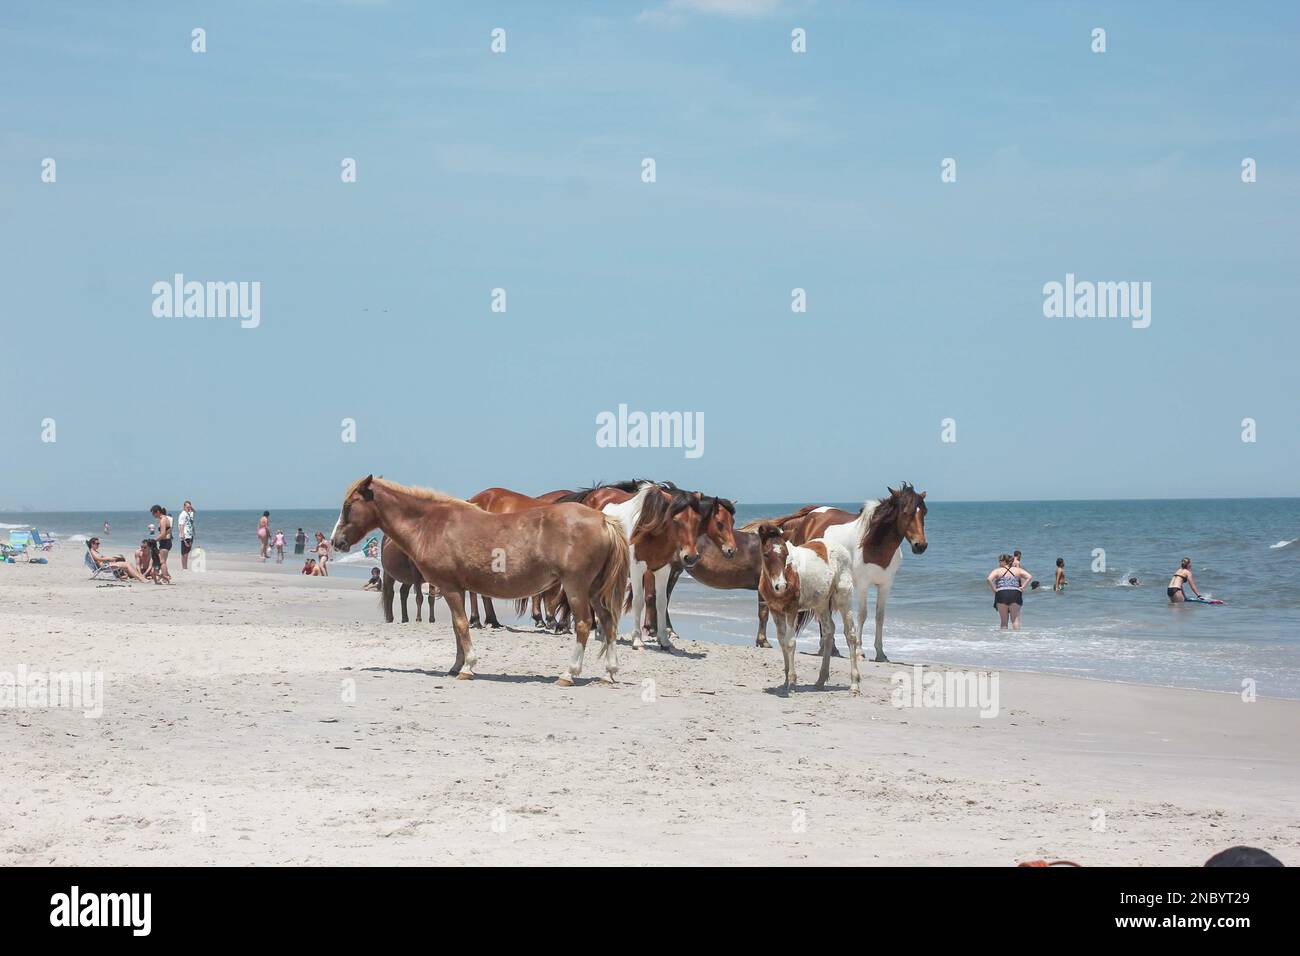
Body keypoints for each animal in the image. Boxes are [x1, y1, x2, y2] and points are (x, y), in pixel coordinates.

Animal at [331, 475, 629, 685]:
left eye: (348, 506)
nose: (336, 541)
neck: (432, 524)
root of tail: (603, 519)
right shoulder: (456, 589)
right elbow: (456, 627)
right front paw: (455, 666)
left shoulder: (450, 588)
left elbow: (462, 625)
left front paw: (467, 667)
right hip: (594, 590)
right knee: (608, 622)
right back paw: (609, 673)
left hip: (576, 587)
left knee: (584, 624)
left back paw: (569, 673)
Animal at [753, 483, 928, 662]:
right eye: (906, 512)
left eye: (924, 512)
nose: (920, 545)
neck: (873, 544)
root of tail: (810, 514)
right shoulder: (863, 584)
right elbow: (862, 614)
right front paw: (859, 651)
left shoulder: (885, 584)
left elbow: (880, 617)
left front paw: (880, 653)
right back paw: (827, 648)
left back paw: (830, 648)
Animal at [756, 524, 858, 694]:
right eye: (766, 554)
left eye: (786, 554)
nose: (781, 586)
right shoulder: (775, 610)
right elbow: (782, 641)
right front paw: (785, 681)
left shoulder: (791, 609)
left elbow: (790, 642)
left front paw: (792, 682)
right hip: (821, 604)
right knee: (829, 630)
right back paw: (820, 681)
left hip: (844, 598)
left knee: (850, 633)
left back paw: (855, 684)